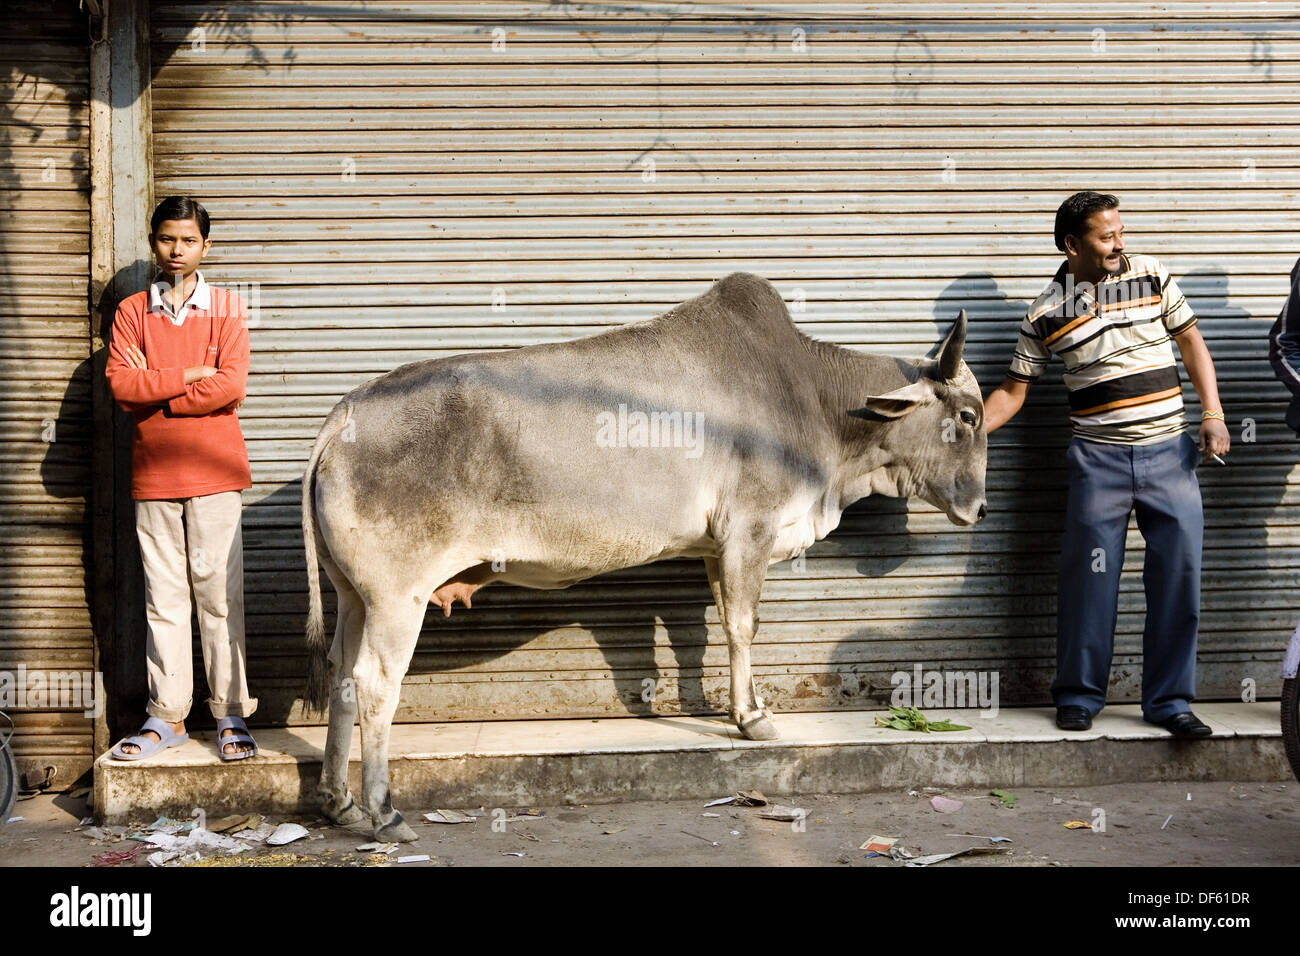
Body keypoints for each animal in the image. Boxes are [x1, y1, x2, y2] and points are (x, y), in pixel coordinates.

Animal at [301, 272, 986, 842]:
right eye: (969, 416)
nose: (980, 509)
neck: (816, 402)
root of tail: (345, 413)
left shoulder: (717, 547)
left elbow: (712, 633)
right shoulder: (751, 530)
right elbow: (744, 627)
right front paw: (753, 718)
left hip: (353, 595)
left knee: (340, 676)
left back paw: (339, 805)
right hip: (399, 596)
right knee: (375, 683)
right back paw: (385, 813)